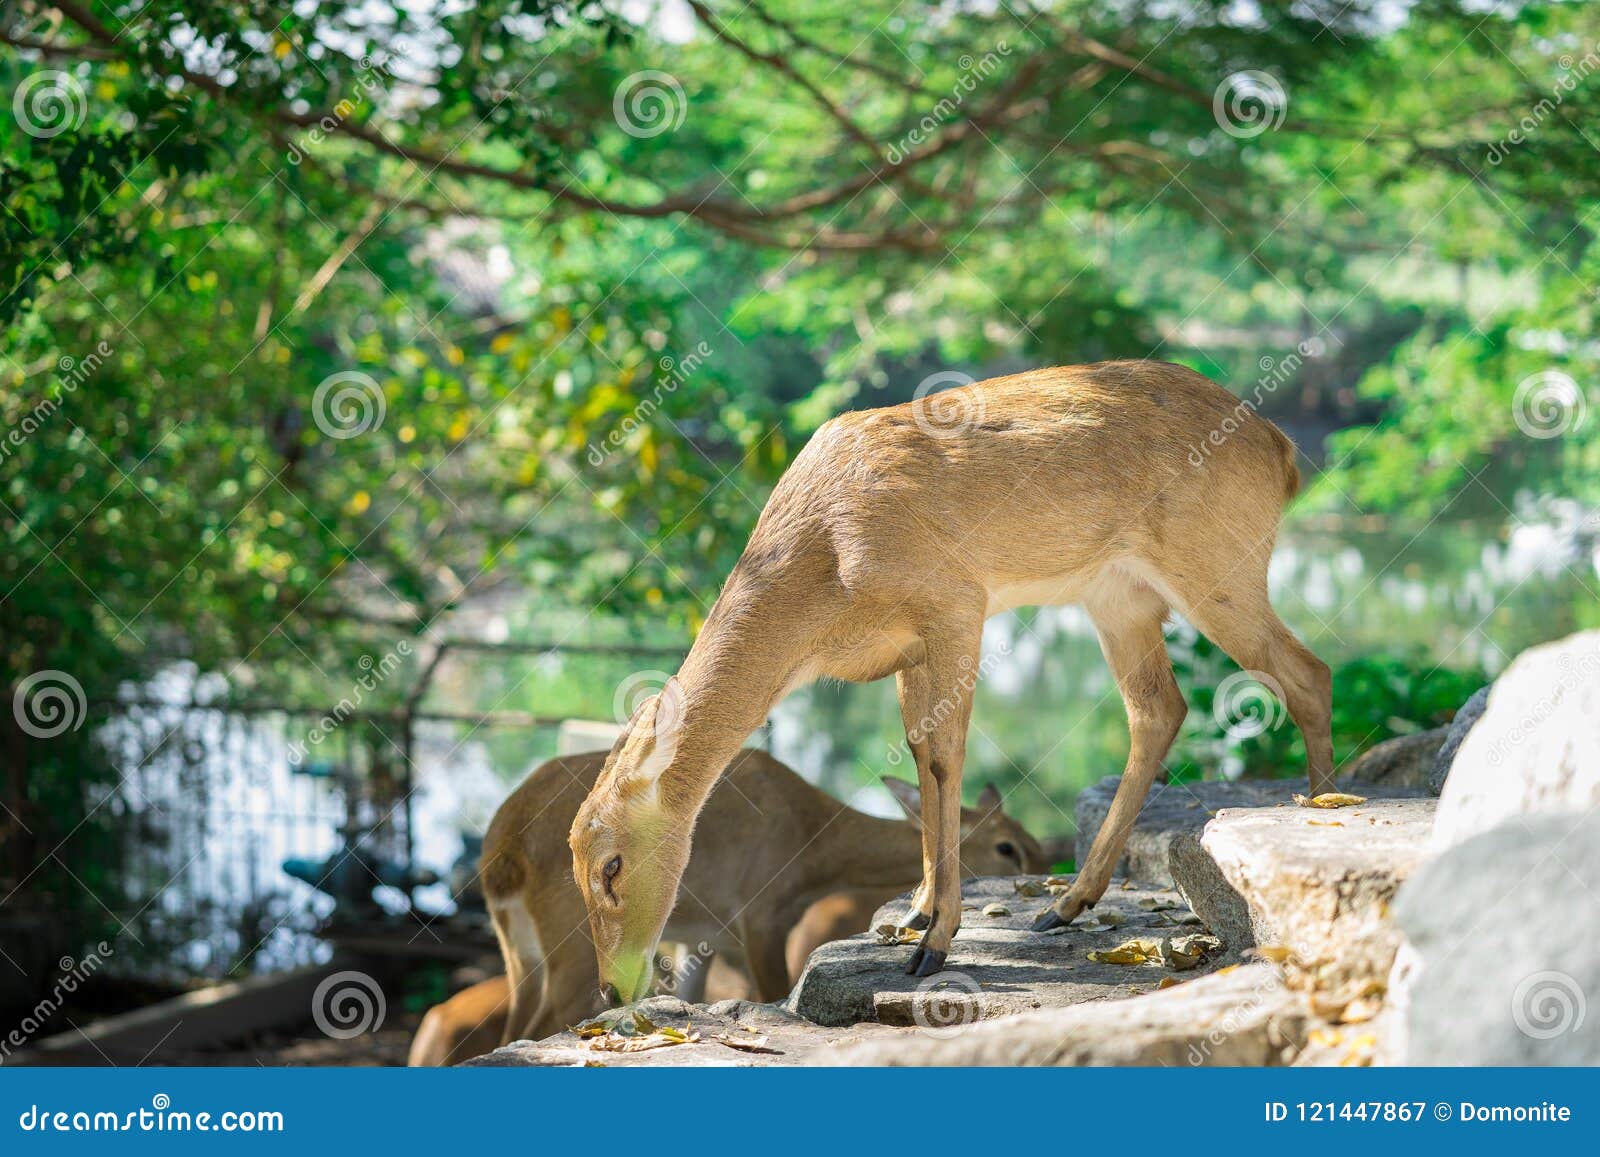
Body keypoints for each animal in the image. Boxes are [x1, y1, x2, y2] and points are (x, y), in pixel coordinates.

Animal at [481, 748, 1046, 1041]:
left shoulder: (704, 943)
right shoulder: (762, 923)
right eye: (1007, 847)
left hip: (520, 958)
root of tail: (504, 841)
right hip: (573, 958)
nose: (1042, 873)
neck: (810, 830)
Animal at [570, 360, 1332, 995]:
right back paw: (1063, 905)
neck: (828, 568)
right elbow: (918, 753)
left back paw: (1325, 812)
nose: (613, 988)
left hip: (1217, 570)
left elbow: (946, 756)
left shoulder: (956, 605)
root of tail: (1283, 453)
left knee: (1308, 671)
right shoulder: (907, 650)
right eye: (571, 856)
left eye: (611, 865)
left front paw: (933, 944)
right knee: (1159, 707)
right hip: (1120, 596)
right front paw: (914, 912)